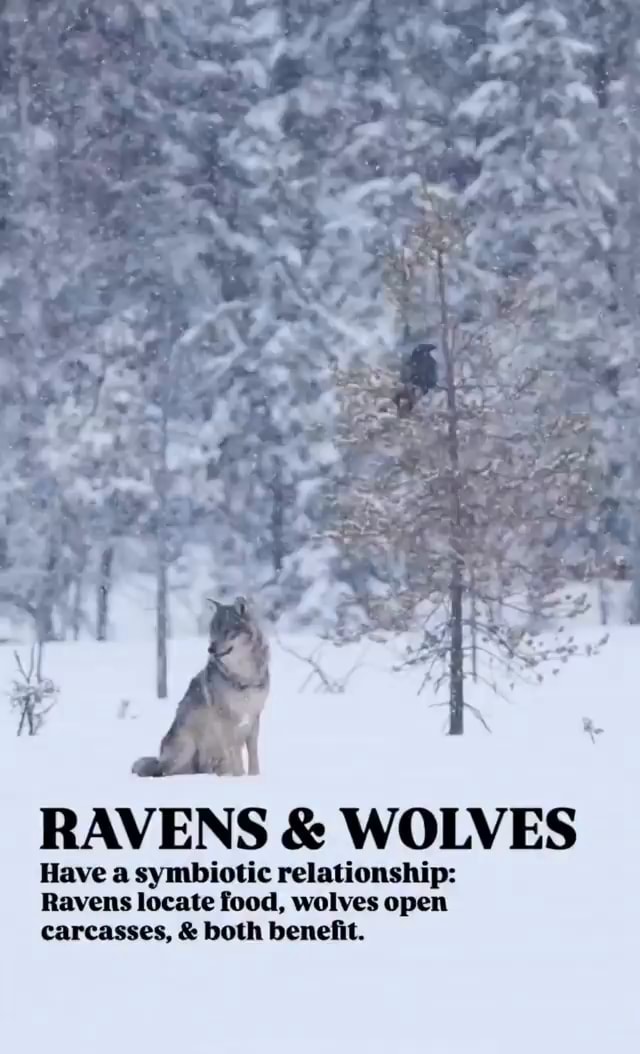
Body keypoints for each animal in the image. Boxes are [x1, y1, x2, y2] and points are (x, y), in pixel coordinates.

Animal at [131, 596, 269, 778]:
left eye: (227, 631)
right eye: (212, 630)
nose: (210, 648)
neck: (244, 675)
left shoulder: (254, 716)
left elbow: (253, 755)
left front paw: (254, 777)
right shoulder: (226, 719)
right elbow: (236, 755)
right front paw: (239, 777)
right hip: (186, 748)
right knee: (165, 772)